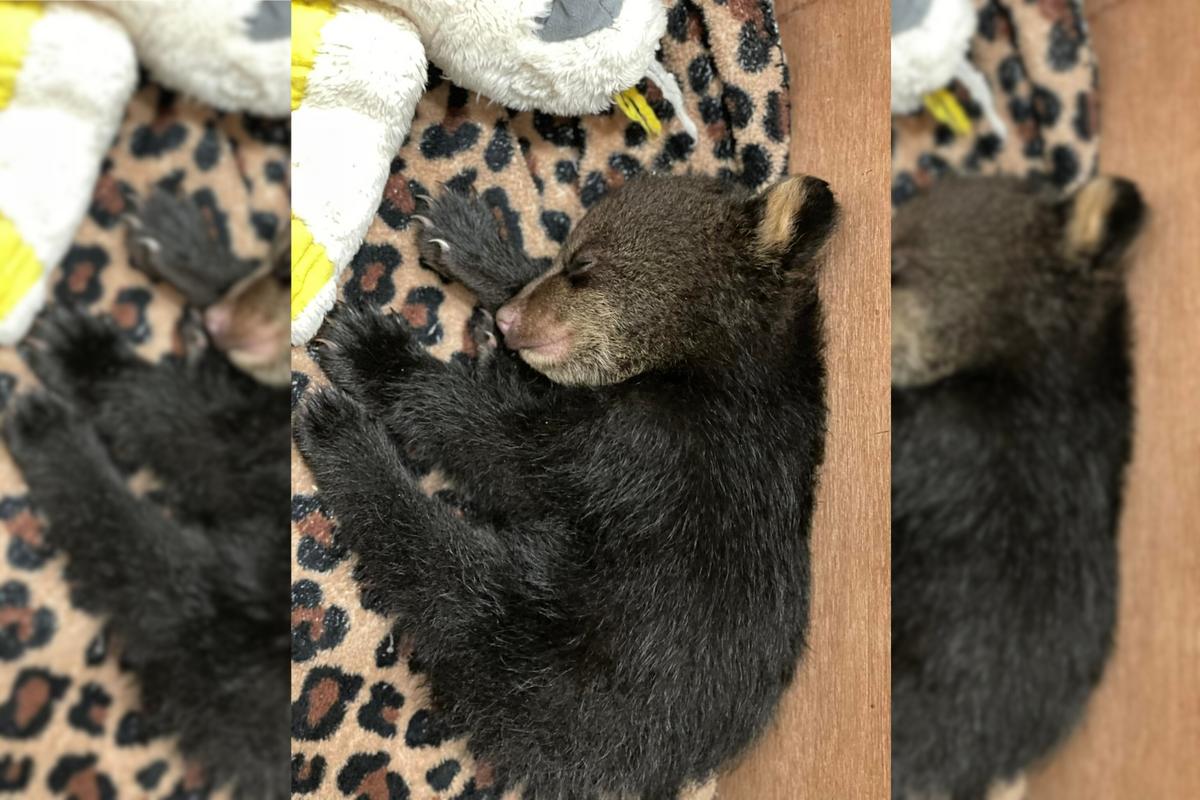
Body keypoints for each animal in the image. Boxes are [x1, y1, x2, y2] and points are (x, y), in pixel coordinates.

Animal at [295, 173, 839, 798]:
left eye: (584, 264)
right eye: (564, 253)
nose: (510, 320)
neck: (713, 363)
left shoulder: (649, 450)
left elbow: (504, 449)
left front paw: (375, 352)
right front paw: (469, 238)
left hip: (565, 637)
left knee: (447, 578)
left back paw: (347, 436)